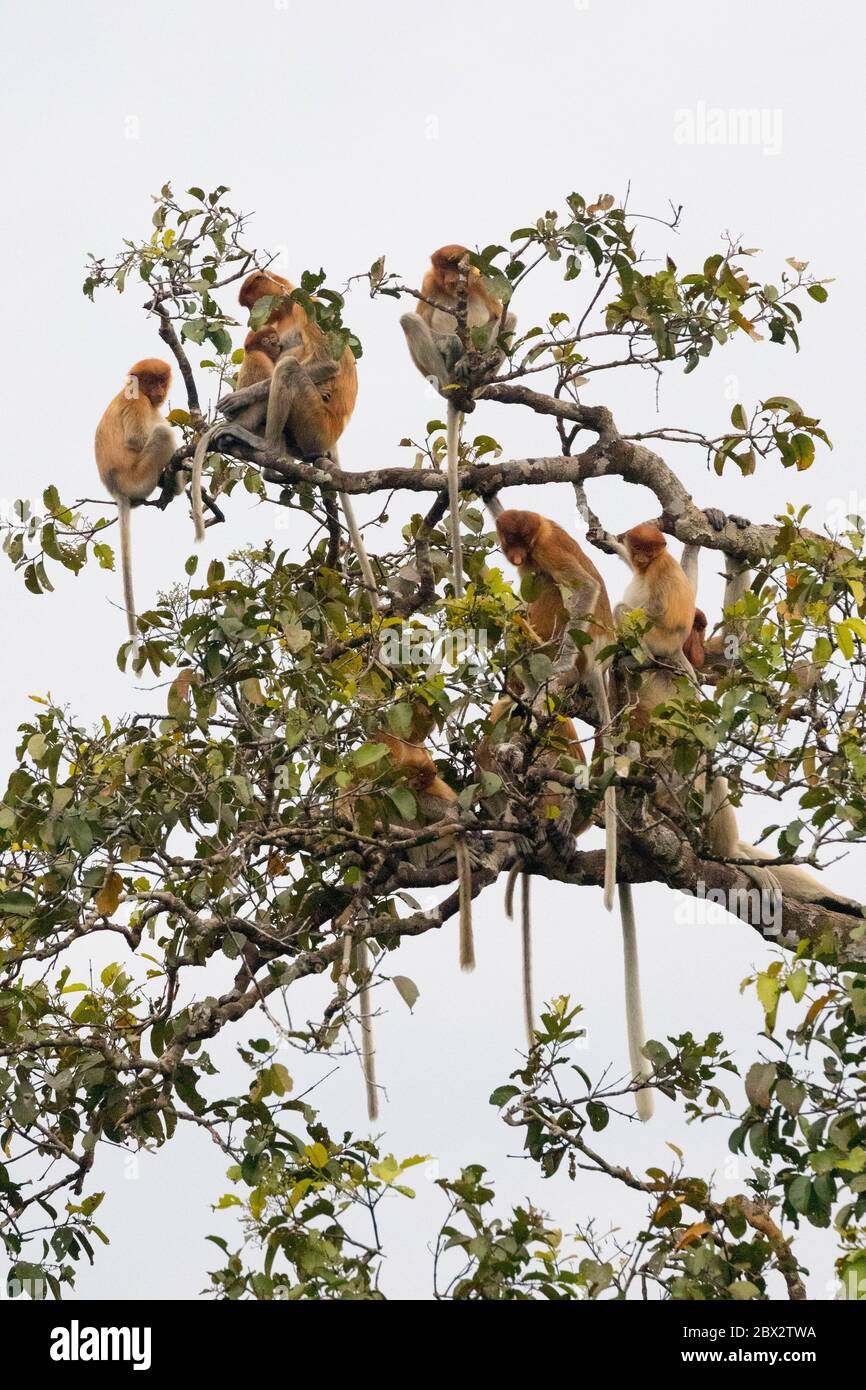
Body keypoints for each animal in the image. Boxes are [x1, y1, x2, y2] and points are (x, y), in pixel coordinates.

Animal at [94, 358, 179, 658]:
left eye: (161, 381)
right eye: (150, 381)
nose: (158, 392)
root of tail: (117, 489)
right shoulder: (137, 401)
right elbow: (136, 439)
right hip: (138, 477)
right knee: (163, 433)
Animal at [401, 246, 516, 599]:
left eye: (458, 266)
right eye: (445, 269)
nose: (455, 280)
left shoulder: (484, 281)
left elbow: (501, 316)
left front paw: (469, 354)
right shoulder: (428, 284)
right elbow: (421, 318)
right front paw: (455, 348)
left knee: (509, 321)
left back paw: (473, 380)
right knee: (410, 320)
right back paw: (454, 377)